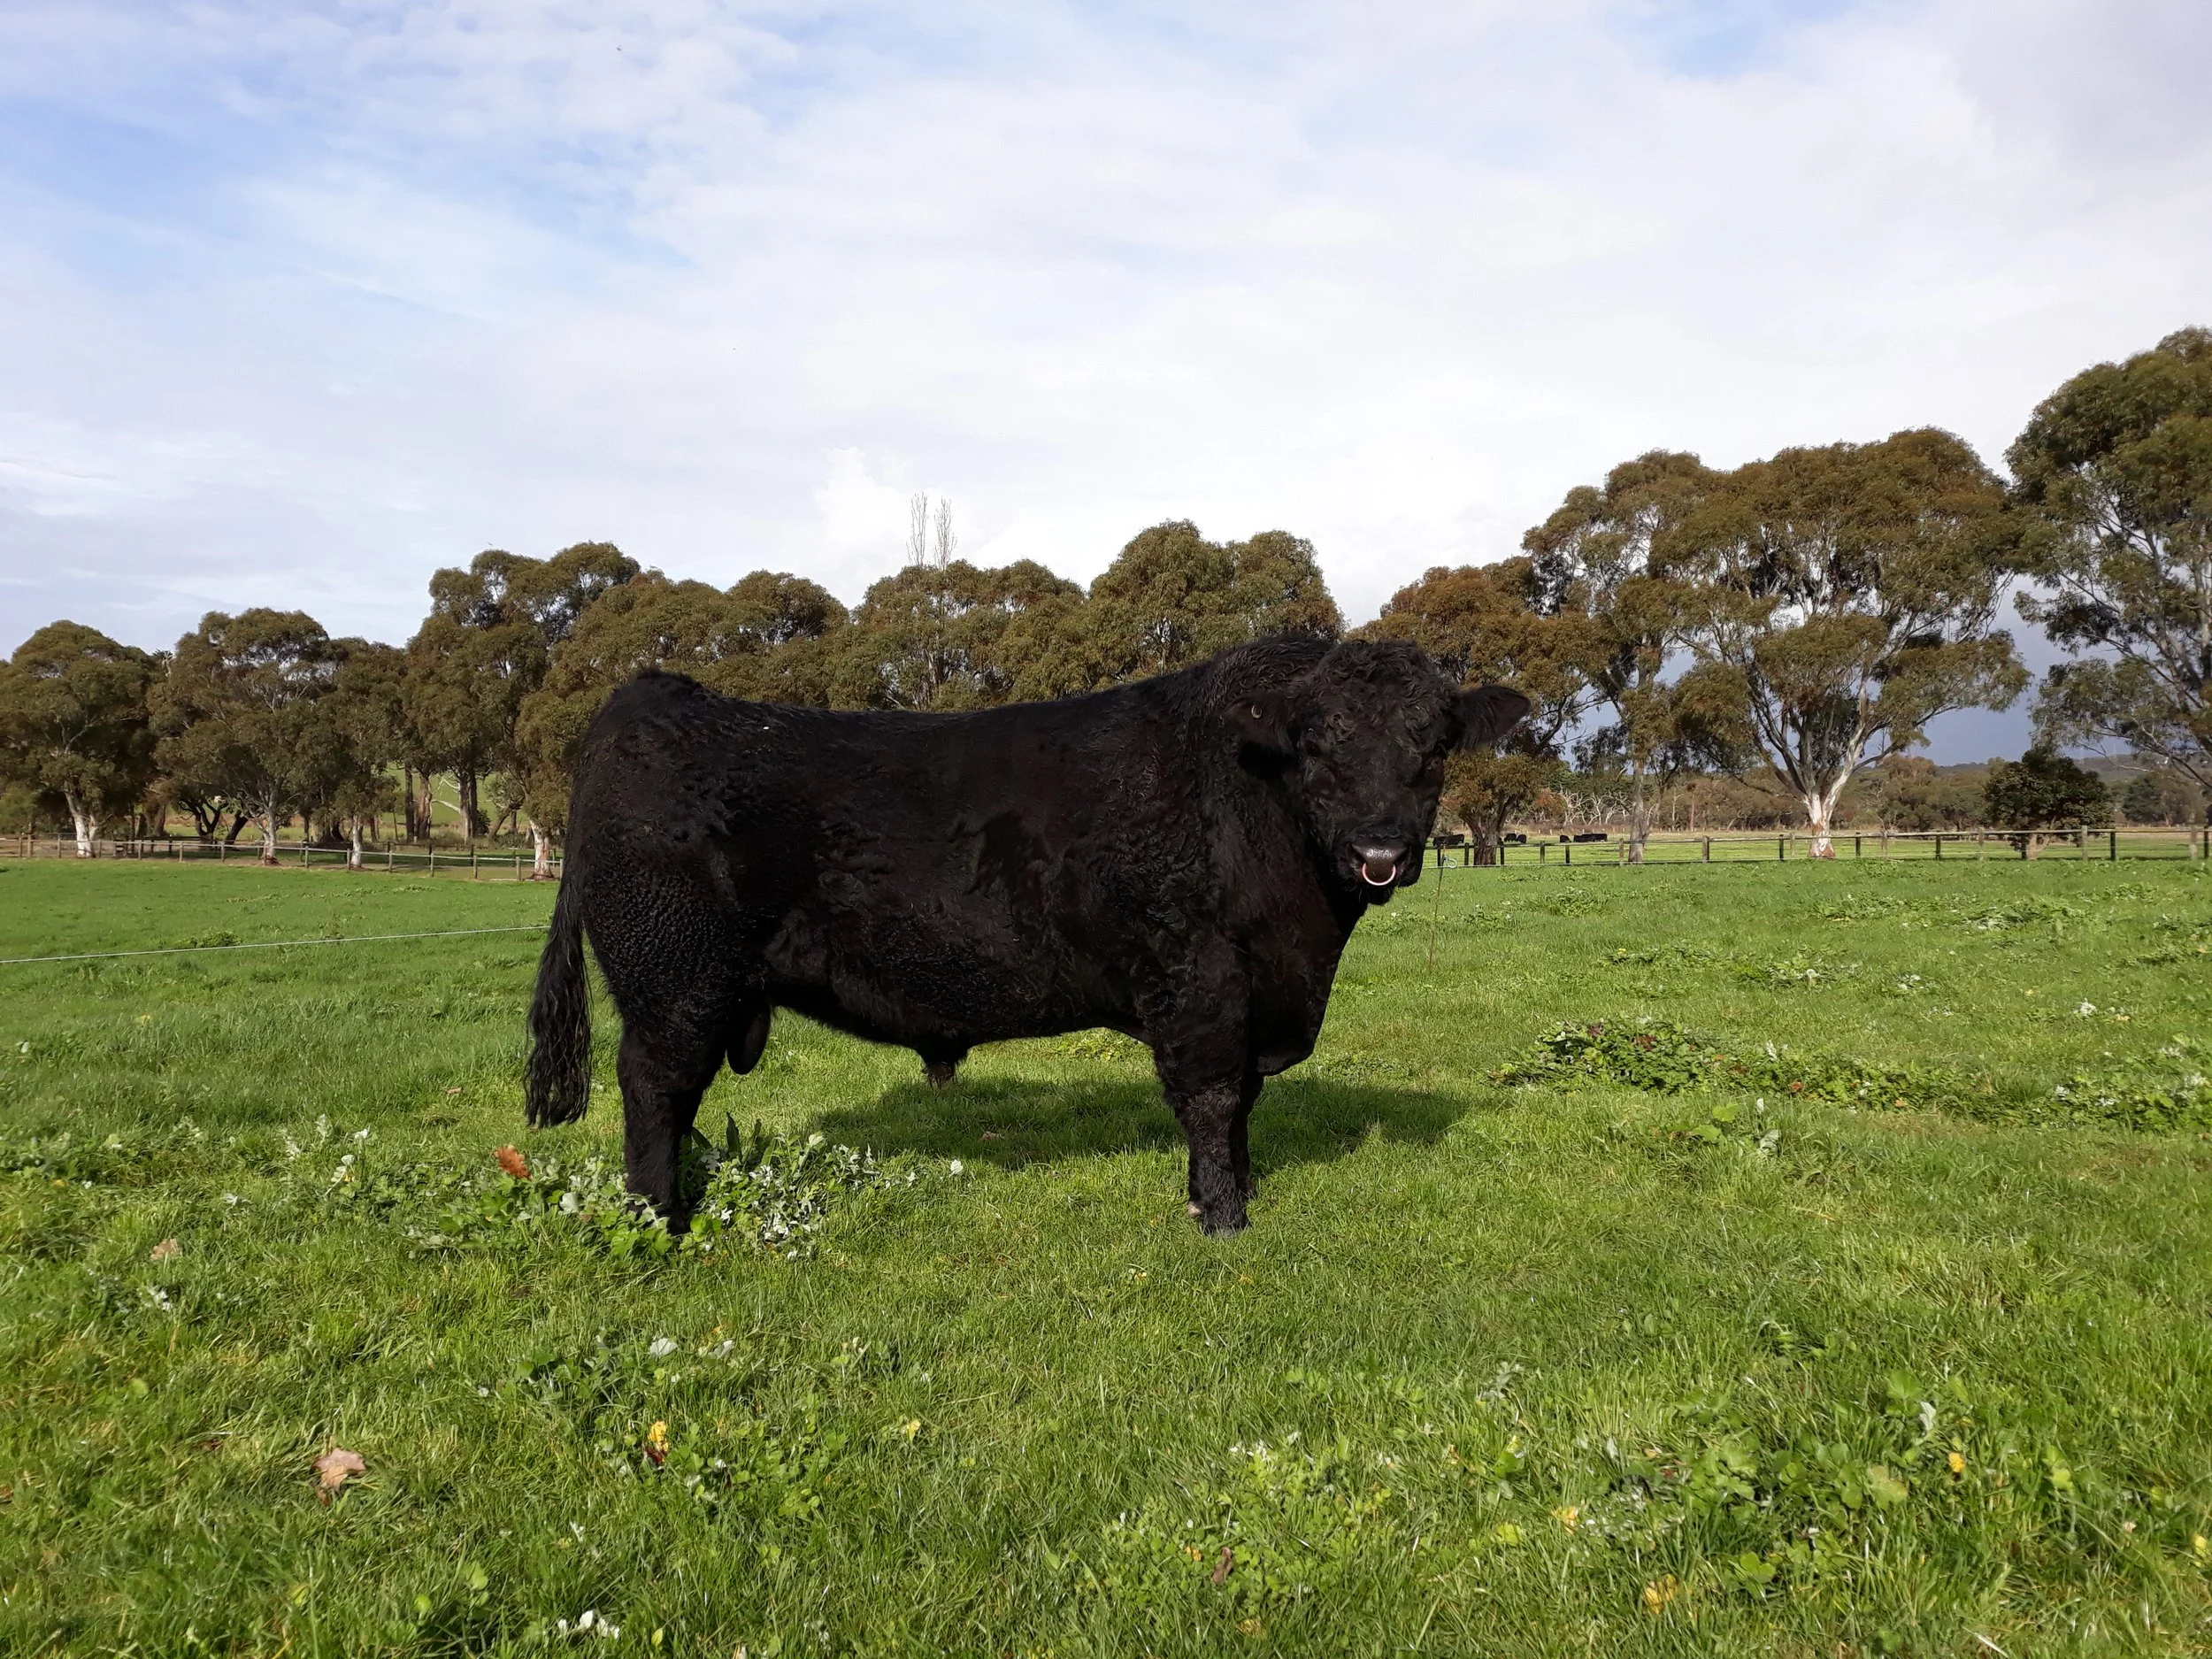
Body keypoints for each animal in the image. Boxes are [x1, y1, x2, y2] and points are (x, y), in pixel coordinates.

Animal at [523, 637, 1529, 1234]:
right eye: (1317, 743)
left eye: (1434, 745)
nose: (1380, 850)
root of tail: (654, 696)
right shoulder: (1197, 976)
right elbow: (1212, 1099)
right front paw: (1223, 1216)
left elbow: (1239, 1101)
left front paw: (1224, 1192)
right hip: (673, 977)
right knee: (654, 1088)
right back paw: (659, 1217)